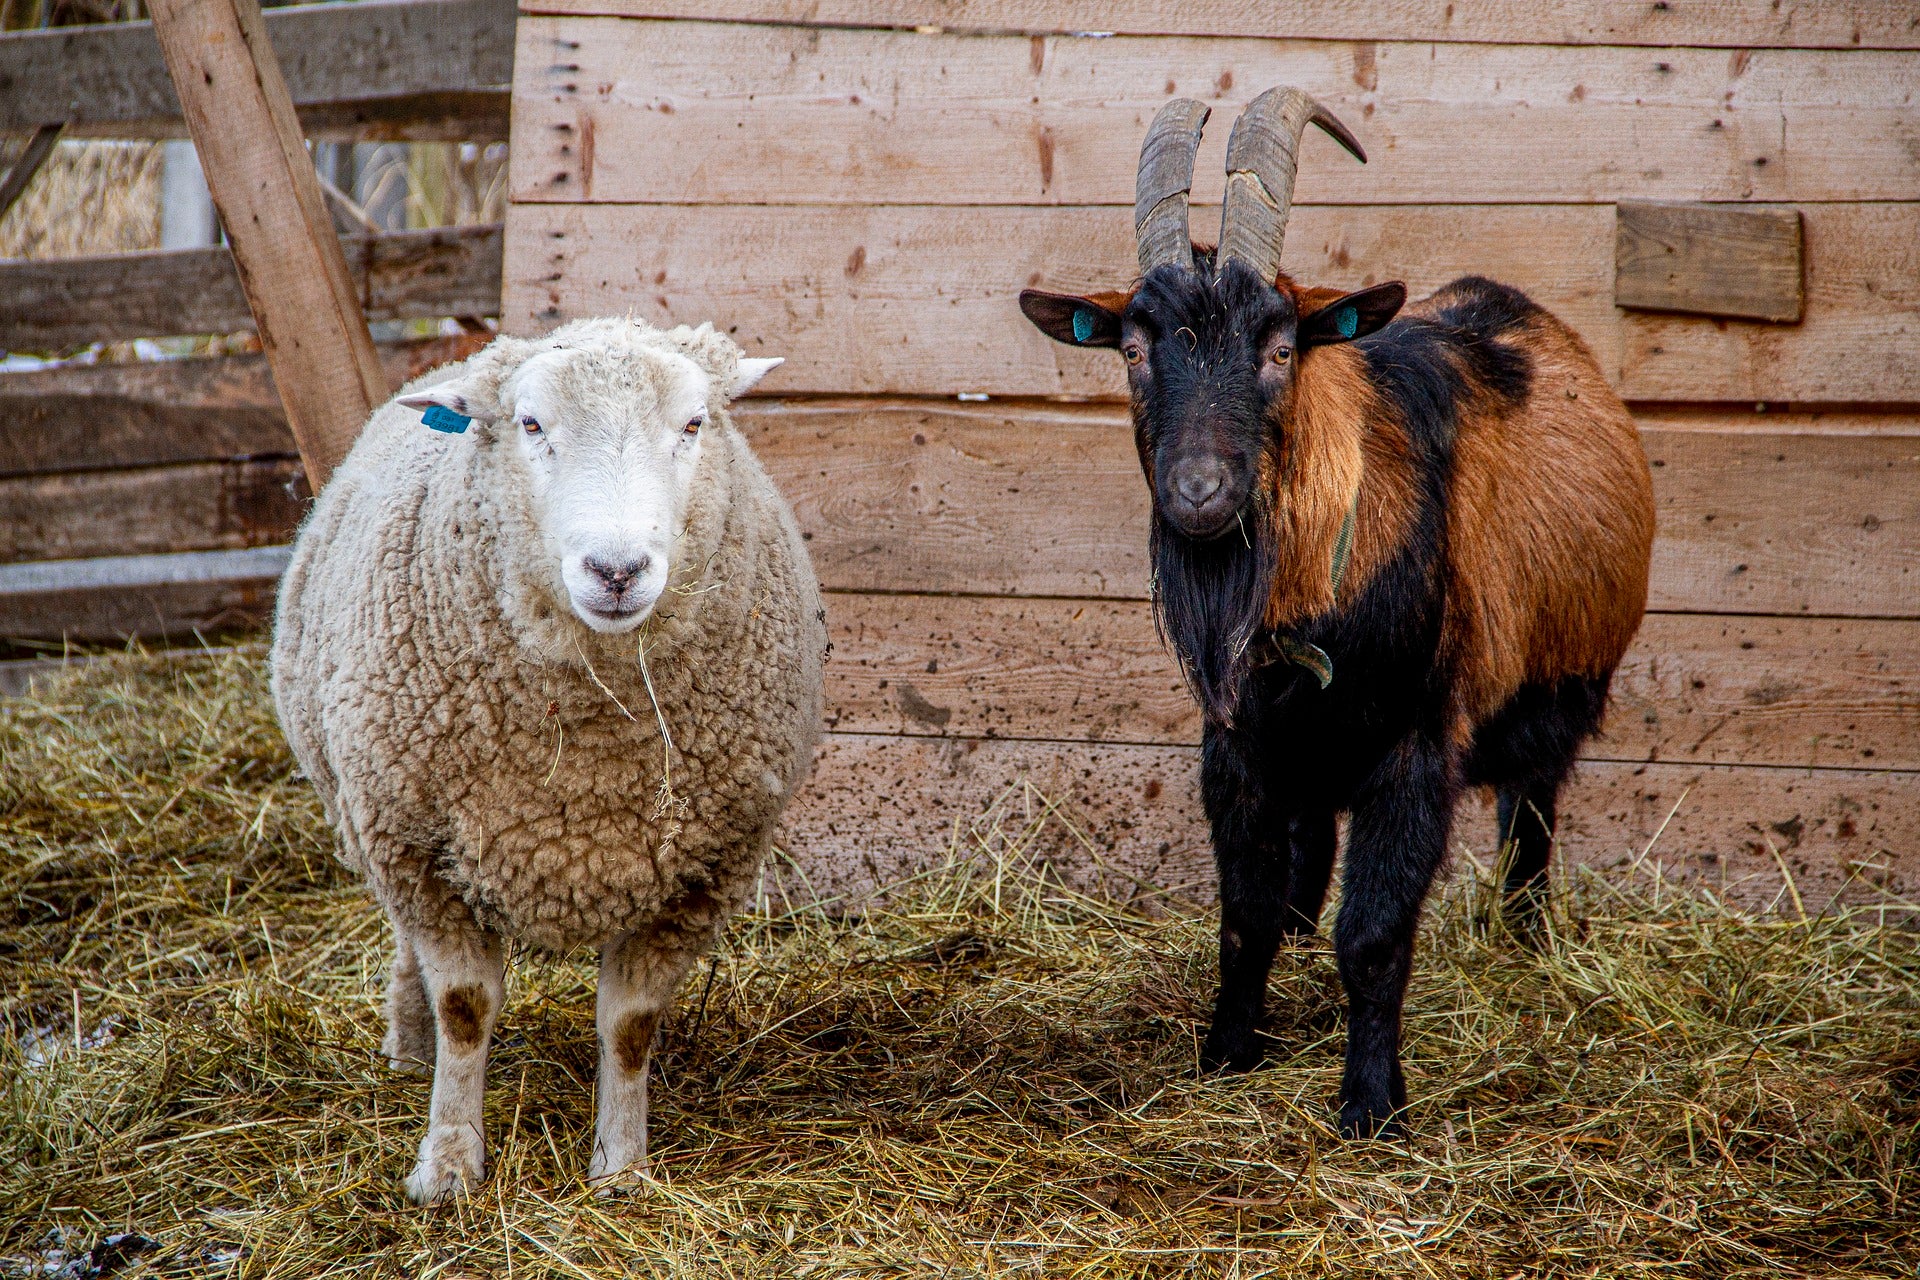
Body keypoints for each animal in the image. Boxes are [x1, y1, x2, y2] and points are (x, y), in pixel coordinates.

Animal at [269, 317, 825, 1201]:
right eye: (531, 425)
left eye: (695, 423)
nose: (617, 570)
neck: (587, 750)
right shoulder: (422, 854)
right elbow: (465, 1009)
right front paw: (449, 1163)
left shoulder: (698, 877)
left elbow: (630, 1028)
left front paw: (621, 1169)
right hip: (381, 822)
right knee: (407, 950)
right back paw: (409, 1048)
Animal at [1018, 87, 1655, 1138]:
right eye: (1136, 350)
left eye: (1280, 348)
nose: (1198, 493)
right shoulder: (1239, 741)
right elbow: (1247, 914)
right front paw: (1229, 1055)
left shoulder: (1416, 744)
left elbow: (1374, 934)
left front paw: (1370, 1106)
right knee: (1306, 868)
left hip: (1560, 693)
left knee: (1531, 818)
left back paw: (1522, 946)